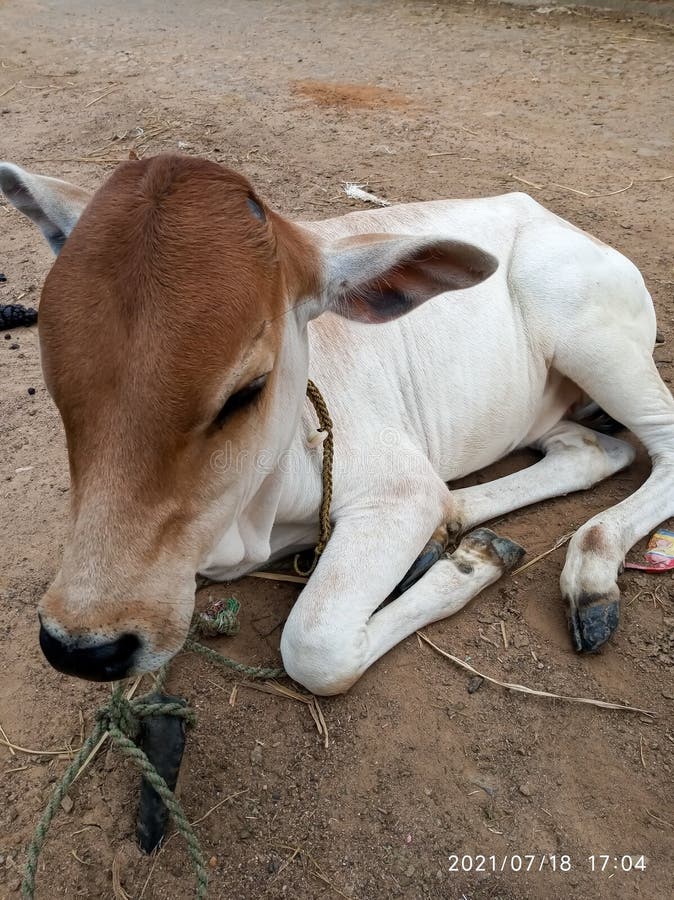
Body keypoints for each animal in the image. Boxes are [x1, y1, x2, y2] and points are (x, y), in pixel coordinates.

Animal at [1, 154, 671, 695]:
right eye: (57, 380)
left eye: (247, 390)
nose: (84, 647)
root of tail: (556, 219)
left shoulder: (397, 491)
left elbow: (314, 647)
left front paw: (470, 565)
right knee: (589, 451)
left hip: (591, 342)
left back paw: (588, 575)